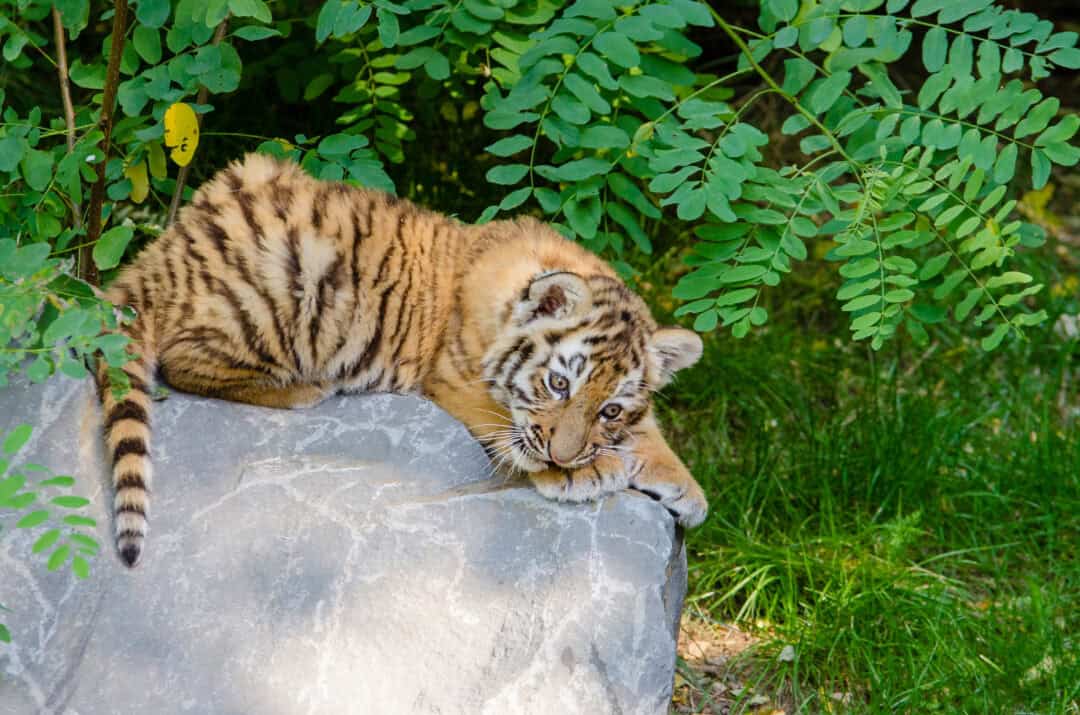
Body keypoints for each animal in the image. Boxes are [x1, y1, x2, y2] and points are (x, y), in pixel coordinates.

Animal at [96, 153, 708, 567]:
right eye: (558, 384)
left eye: (610, 410)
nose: (567, 455)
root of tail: (166, 250)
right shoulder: (456, 377)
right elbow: (508, 426)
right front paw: (586, 472)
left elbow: (650, 432)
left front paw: (687, 489)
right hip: (285, 286)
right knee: (182, 361)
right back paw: (301, 388)